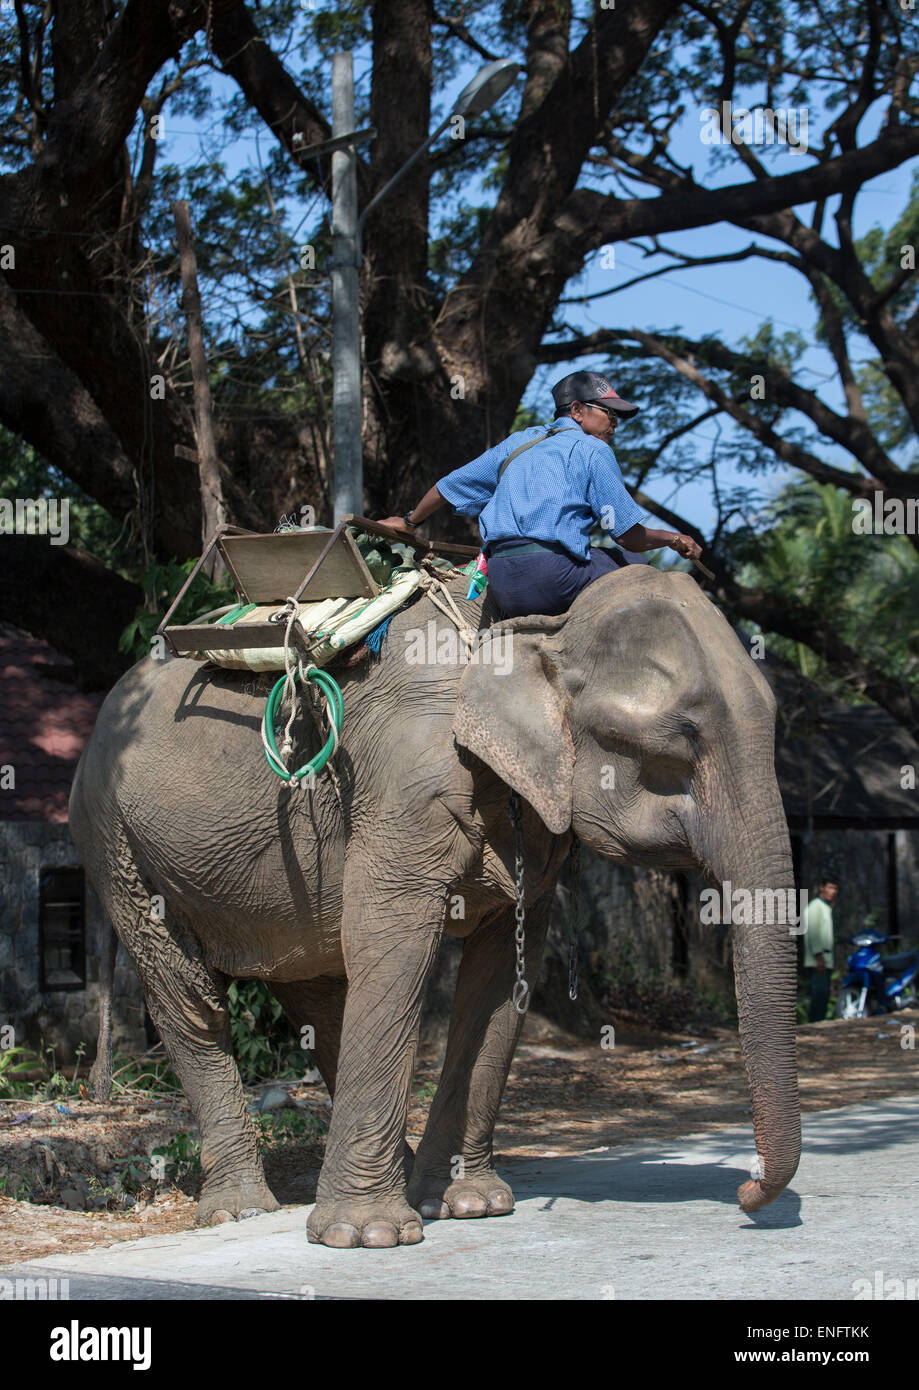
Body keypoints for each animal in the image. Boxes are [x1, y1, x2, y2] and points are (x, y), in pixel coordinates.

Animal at [70, 564, 800, 1247]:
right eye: (680, 738)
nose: (747, 1191)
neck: (534, 632)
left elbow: (501, 972)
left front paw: (468, 1204)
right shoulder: (408, 780)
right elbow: (388, 936)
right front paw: (366, 1235)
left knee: (316, 991)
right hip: (116, 841)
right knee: (189, 998)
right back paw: (243, 1209)